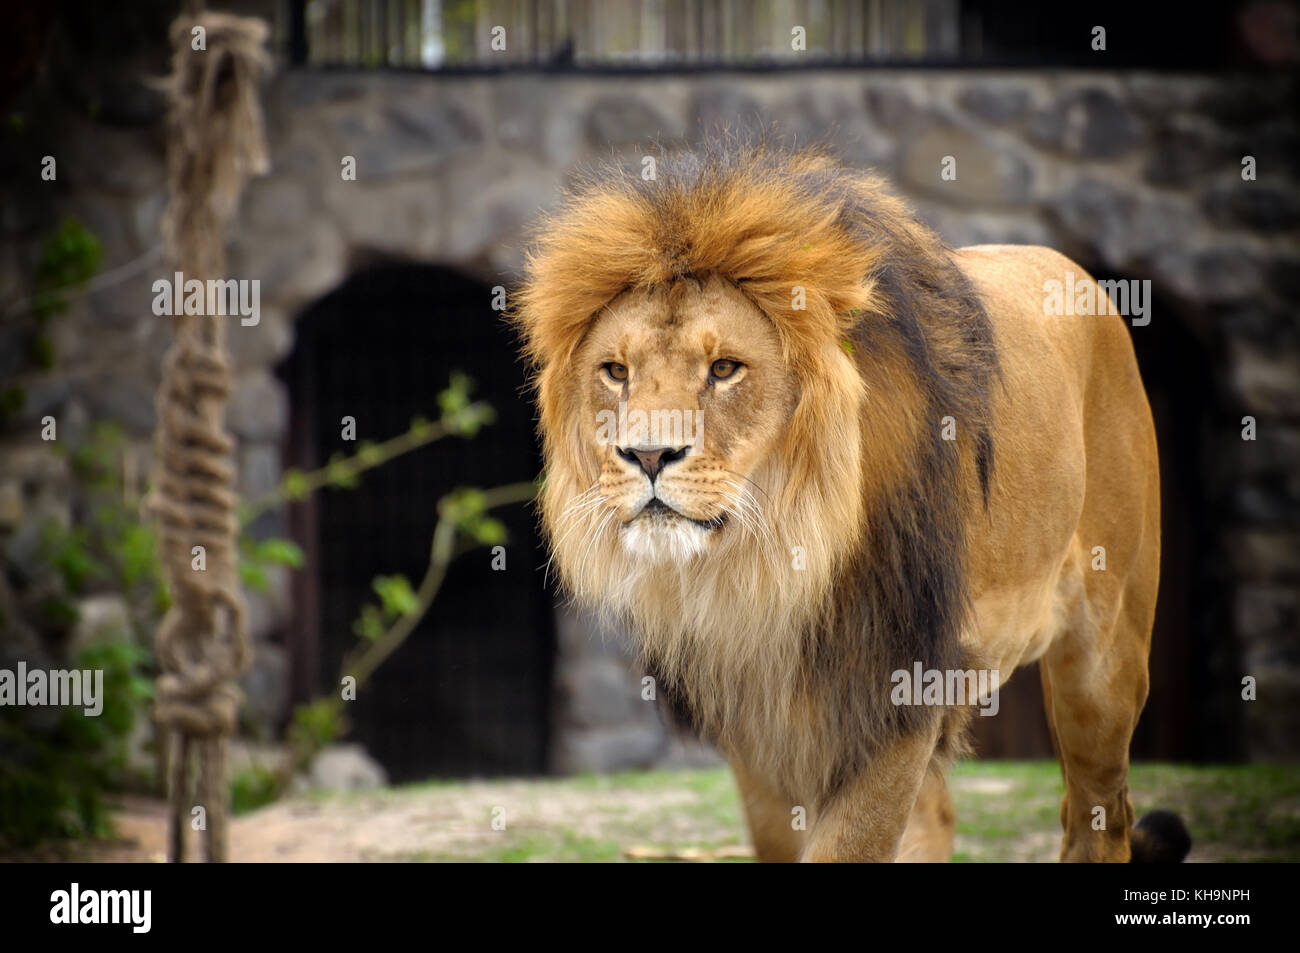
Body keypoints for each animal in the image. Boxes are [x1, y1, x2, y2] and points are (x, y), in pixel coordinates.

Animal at [513, 144, 1189, 863]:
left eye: (725, 369)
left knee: (1100, 812)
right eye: (616, 371)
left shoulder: (899, 689)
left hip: (1105, 662)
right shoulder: (761, 726)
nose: (645, 455)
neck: (772, 559)